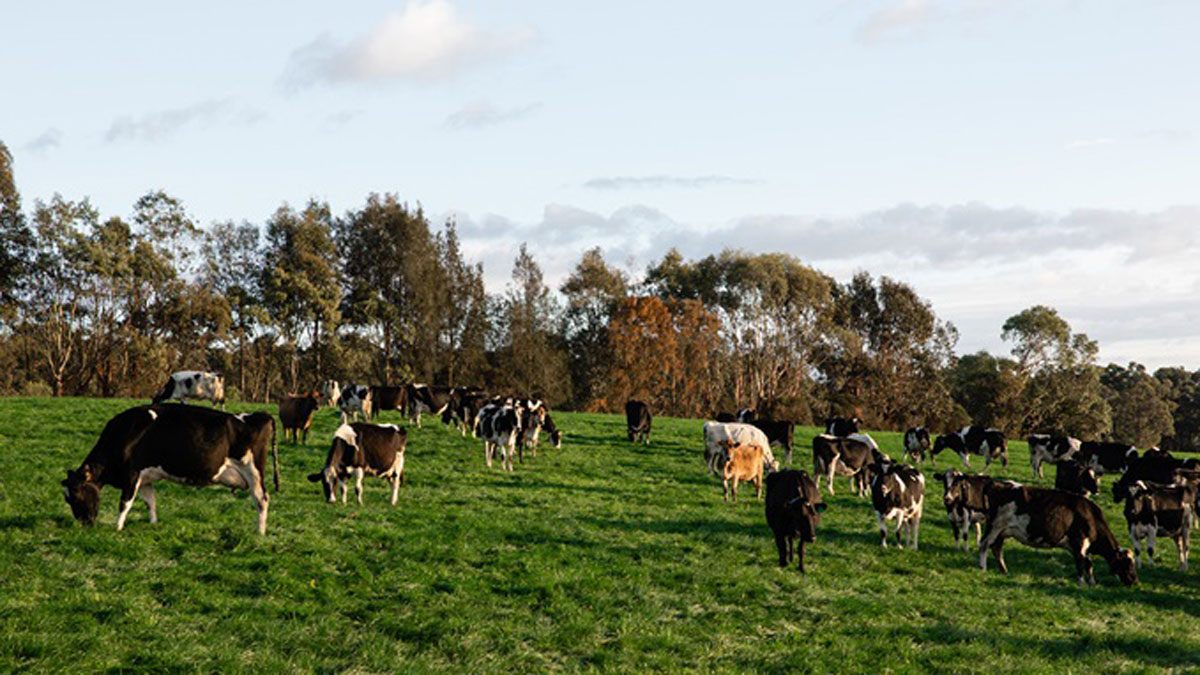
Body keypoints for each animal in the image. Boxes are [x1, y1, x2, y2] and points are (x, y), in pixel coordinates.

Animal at [62, 405, 278, 535]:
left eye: (77, 495)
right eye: (67, 499)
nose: (85, 523)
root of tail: (259, 415)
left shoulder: (131, 474)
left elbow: (125, 503)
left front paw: (117, 528)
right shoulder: (145, 478)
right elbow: (150, 502)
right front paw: (153, 524)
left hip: (253, 472)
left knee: (261, 499)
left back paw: (260, 533)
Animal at [978, 485, 1138, 587]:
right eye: (1127, 564)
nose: (1135, 581)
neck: (1091, 518)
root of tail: (997, 486)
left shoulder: (1085, 548)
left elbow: (1089, 565)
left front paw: (1092, 583)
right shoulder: (1079, 543)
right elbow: (1081, 565)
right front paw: (1082, 584)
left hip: (1002, 532)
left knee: (997, 548)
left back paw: (1004, 571)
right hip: (995, 526)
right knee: (984, 544)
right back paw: (983, 568)